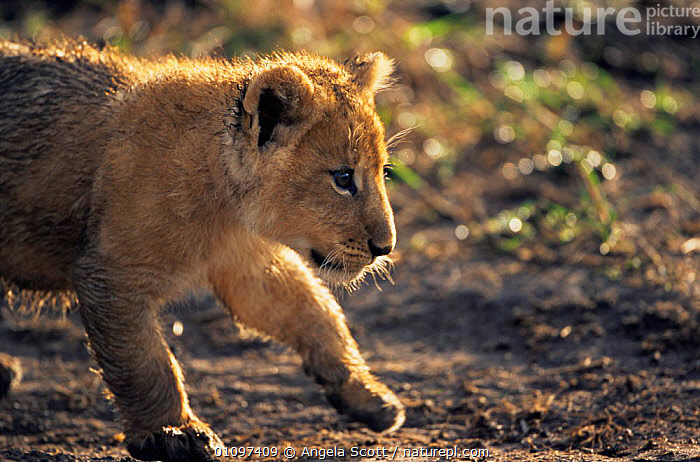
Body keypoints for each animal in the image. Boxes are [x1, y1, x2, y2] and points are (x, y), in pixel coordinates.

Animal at [0, 39, 405, 461]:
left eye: (384, 173)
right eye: (343, 178)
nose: (385, 247)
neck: (225, 203)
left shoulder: (247, 263)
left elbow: (313, 312)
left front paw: (367, 395)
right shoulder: (110, 273)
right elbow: (144, 363)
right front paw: (173, 432)